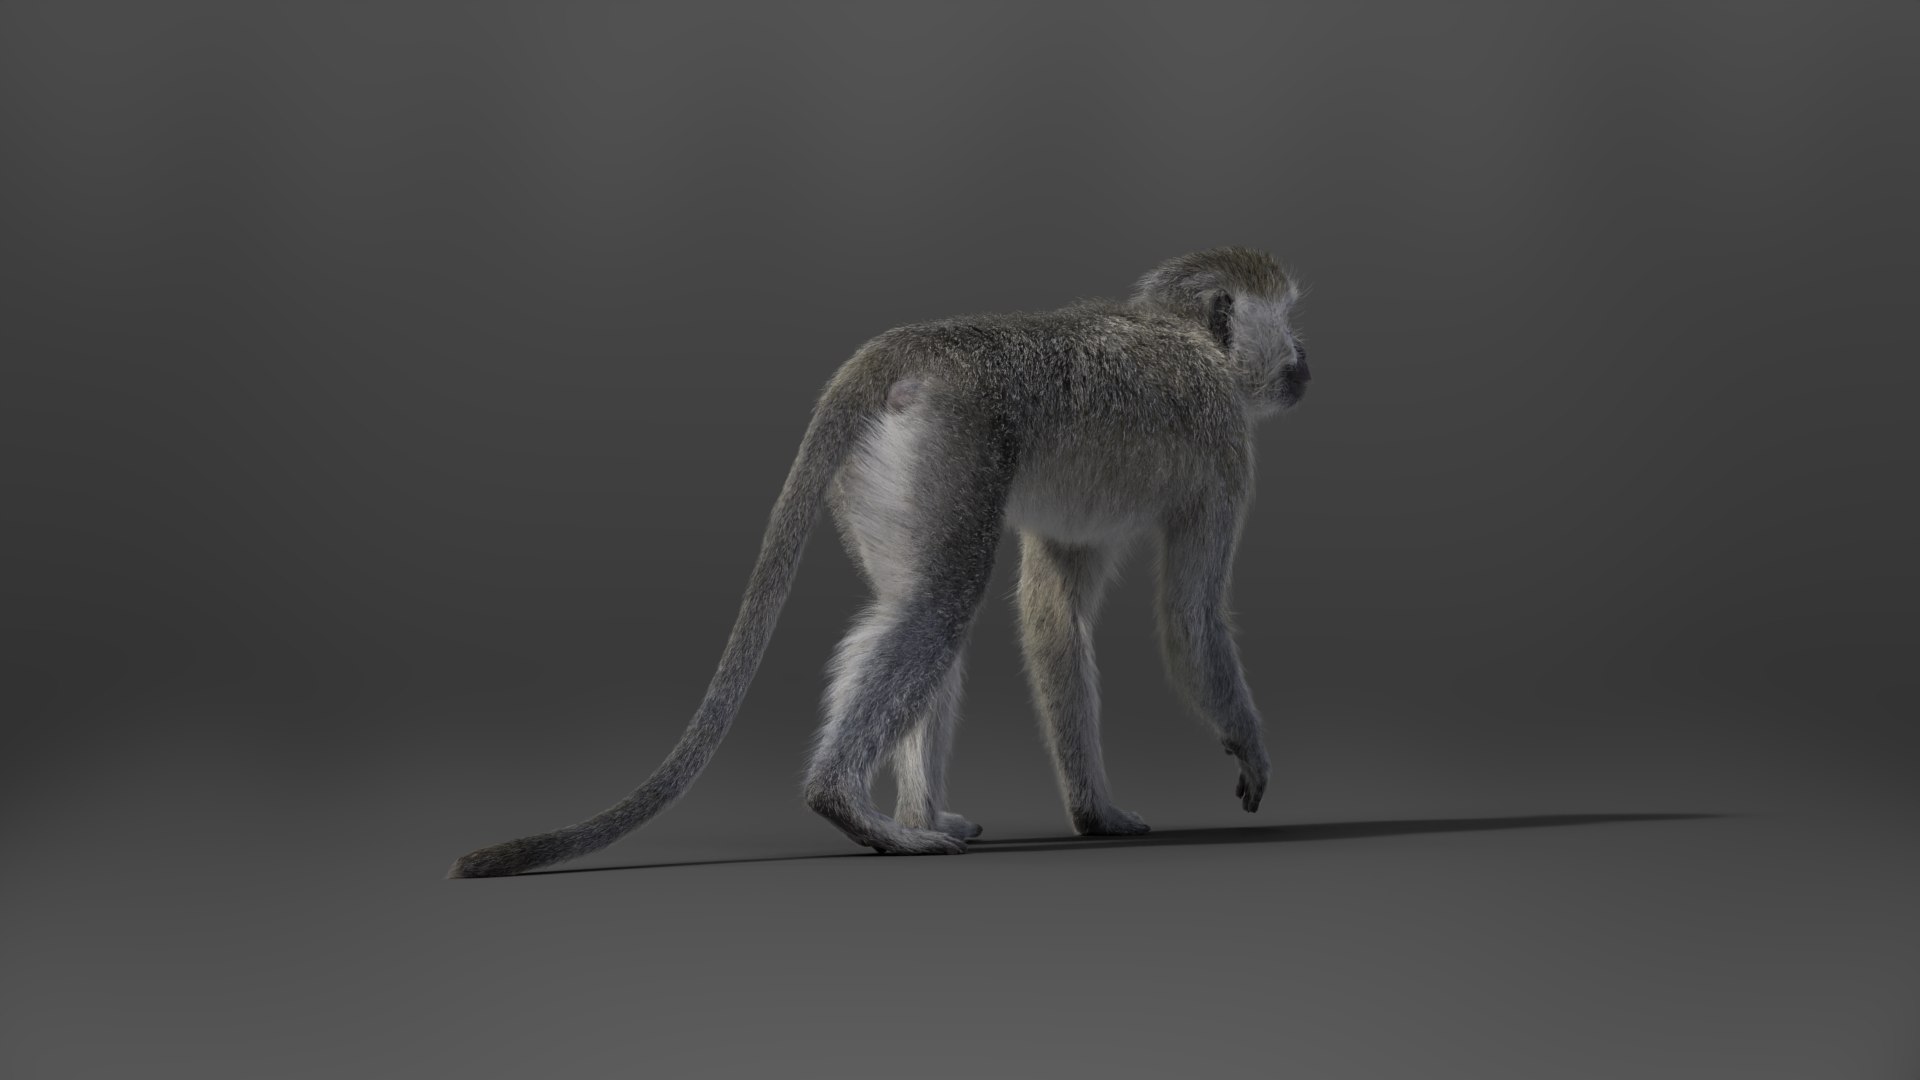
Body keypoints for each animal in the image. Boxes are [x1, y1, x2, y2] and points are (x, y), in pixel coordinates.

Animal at [448, 246, 1311, 877]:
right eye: (1292, 318)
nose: (1306, 353)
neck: (1181, 333)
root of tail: (922, 345)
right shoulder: (1225, 445)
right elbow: (1188, 619)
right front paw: (1247, 744)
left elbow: (1055, 619)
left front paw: (1095, 813)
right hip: (952, 436)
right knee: (938, 603)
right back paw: (851, 808)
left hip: (885, 464)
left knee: (914, 605)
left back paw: (916, 814)